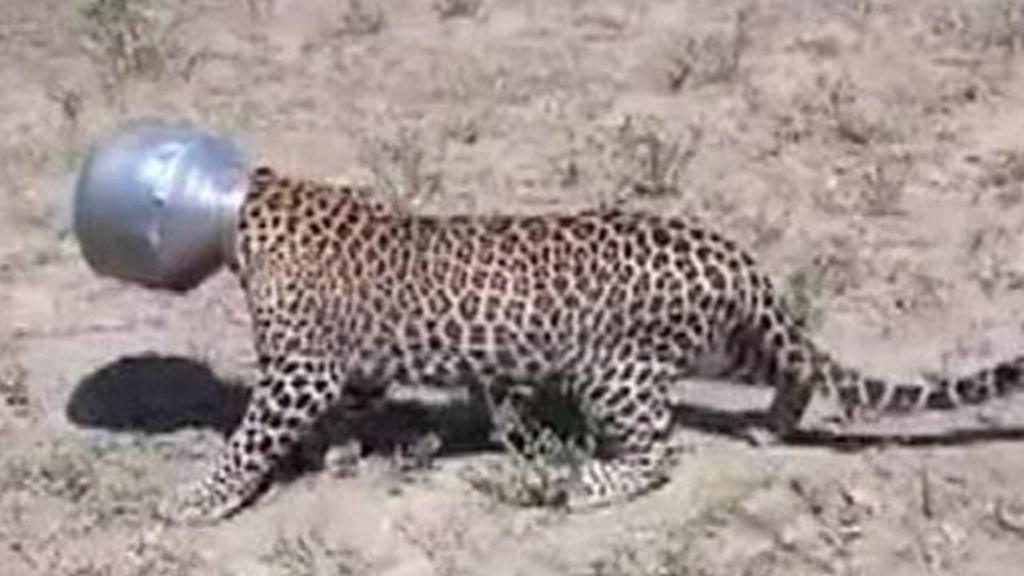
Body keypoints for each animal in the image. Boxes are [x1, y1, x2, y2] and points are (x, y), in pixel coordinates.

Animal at [159, 165, 1024, 524]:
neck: (250, 209)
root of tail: (732, 256)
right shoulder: (345, 363)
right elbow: (347, 407)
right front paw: (336, 454)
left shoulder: (298, 371)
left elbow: (249, 440)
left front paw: (198, 501)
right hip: (714, 342)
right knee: (794, 366)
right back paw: (773, 425)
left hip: (610, 369)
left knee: (661, 451)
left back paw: (582, 484)